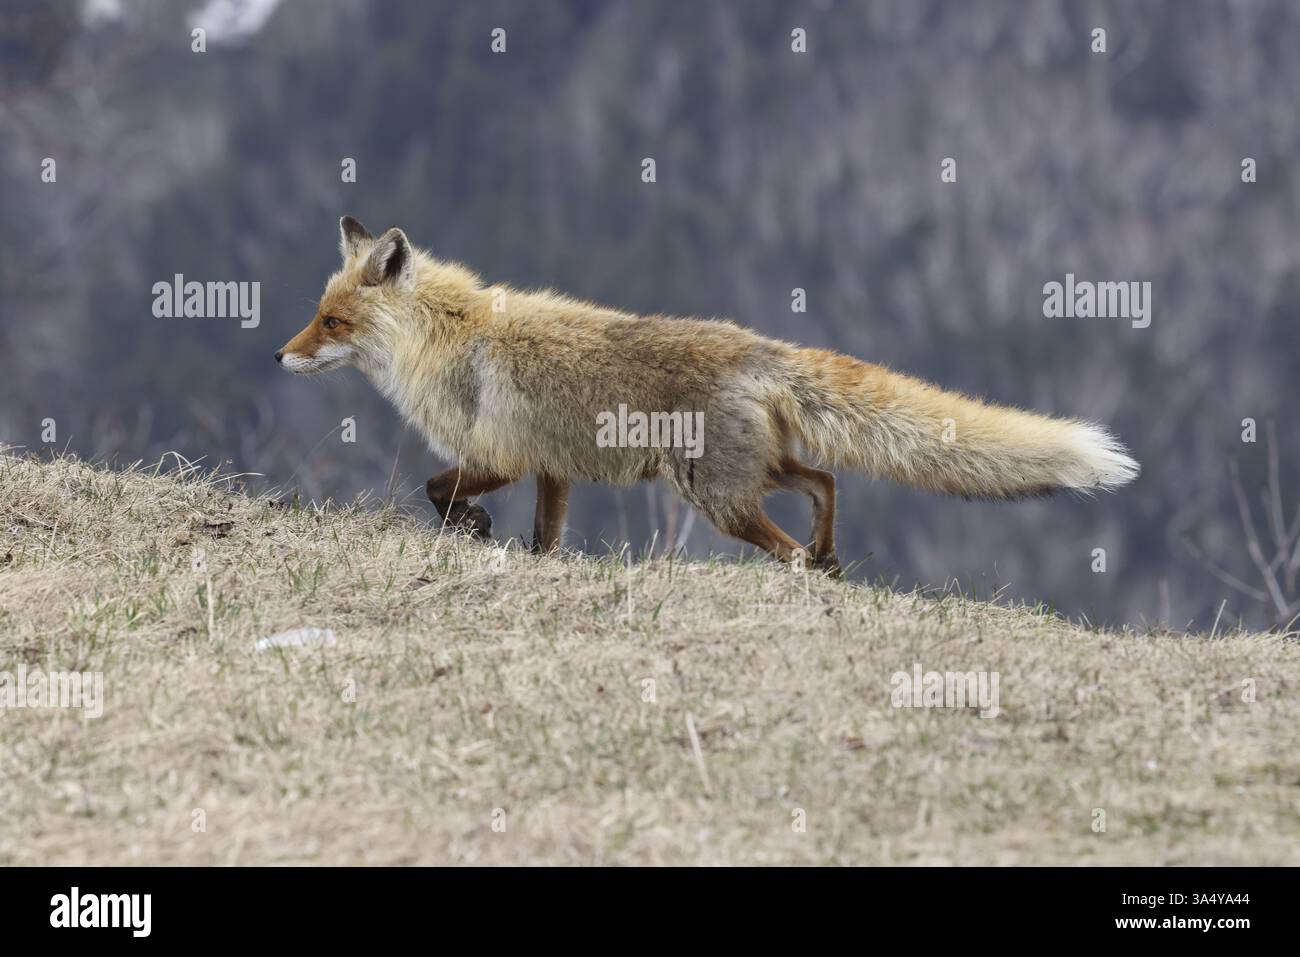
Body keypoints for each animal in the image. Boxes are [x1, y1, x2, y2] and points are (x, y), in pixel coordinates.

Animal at [277, 216, 1139, 573]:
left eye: (331, 320)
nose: (280, 353)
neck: (449, 336)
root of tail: (760, 346)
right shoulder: (551, 467)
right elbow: (544, 538)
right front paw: (515, 549)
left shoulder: (502, 452)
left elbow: (436, 488)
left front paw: (475, 526)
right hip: (752, 473)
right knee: (825, 479)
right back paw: (831, 558)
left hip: (717, 497)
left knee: (790, 540)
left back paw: (808, 570)